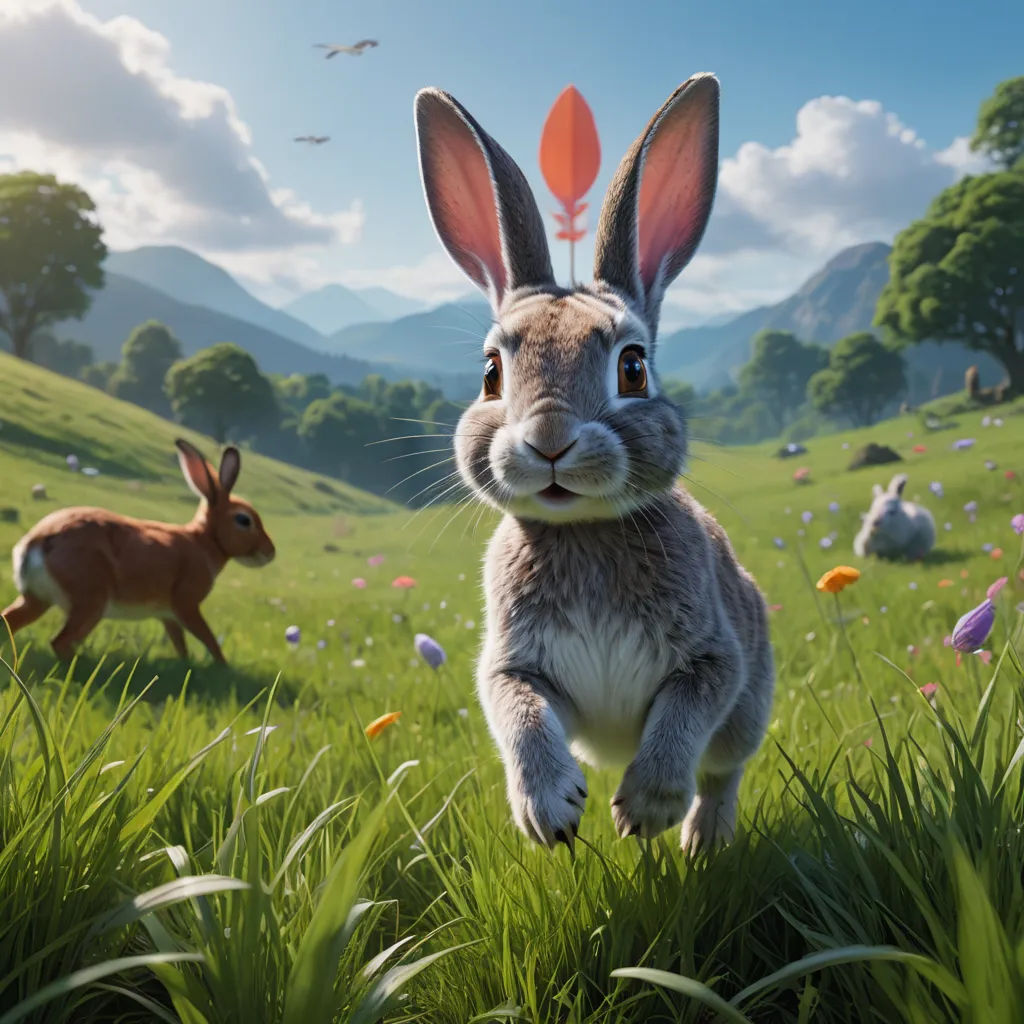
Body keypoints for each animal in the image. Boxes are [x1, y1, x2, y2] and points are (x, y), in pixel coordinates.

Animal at [1, 440, 275, 663]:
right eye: (244, 520)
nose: (270, 552)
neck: (204, 541)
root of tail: (37, 543)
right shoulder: (186, 604)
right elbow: (207, 638)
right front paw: (222, 667)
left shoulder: (168, 615)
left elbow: (180, 643)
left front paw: (187, 664)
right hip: (91, 599)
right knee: (60, 641)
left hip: (37, 599)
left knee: (9, 622)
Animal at [414, 73, 774, 853]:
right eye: (491, 374)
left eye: (632, 368)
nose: (549, 440)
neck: (585, 532)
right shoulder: (517, 667)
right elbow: (519, 715)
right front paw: (548, 813)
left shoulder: (711, 660)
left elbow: (684, 717)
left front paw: (643, 810)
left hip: (749, 702)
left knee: (724, 770)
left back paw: (701, 840)